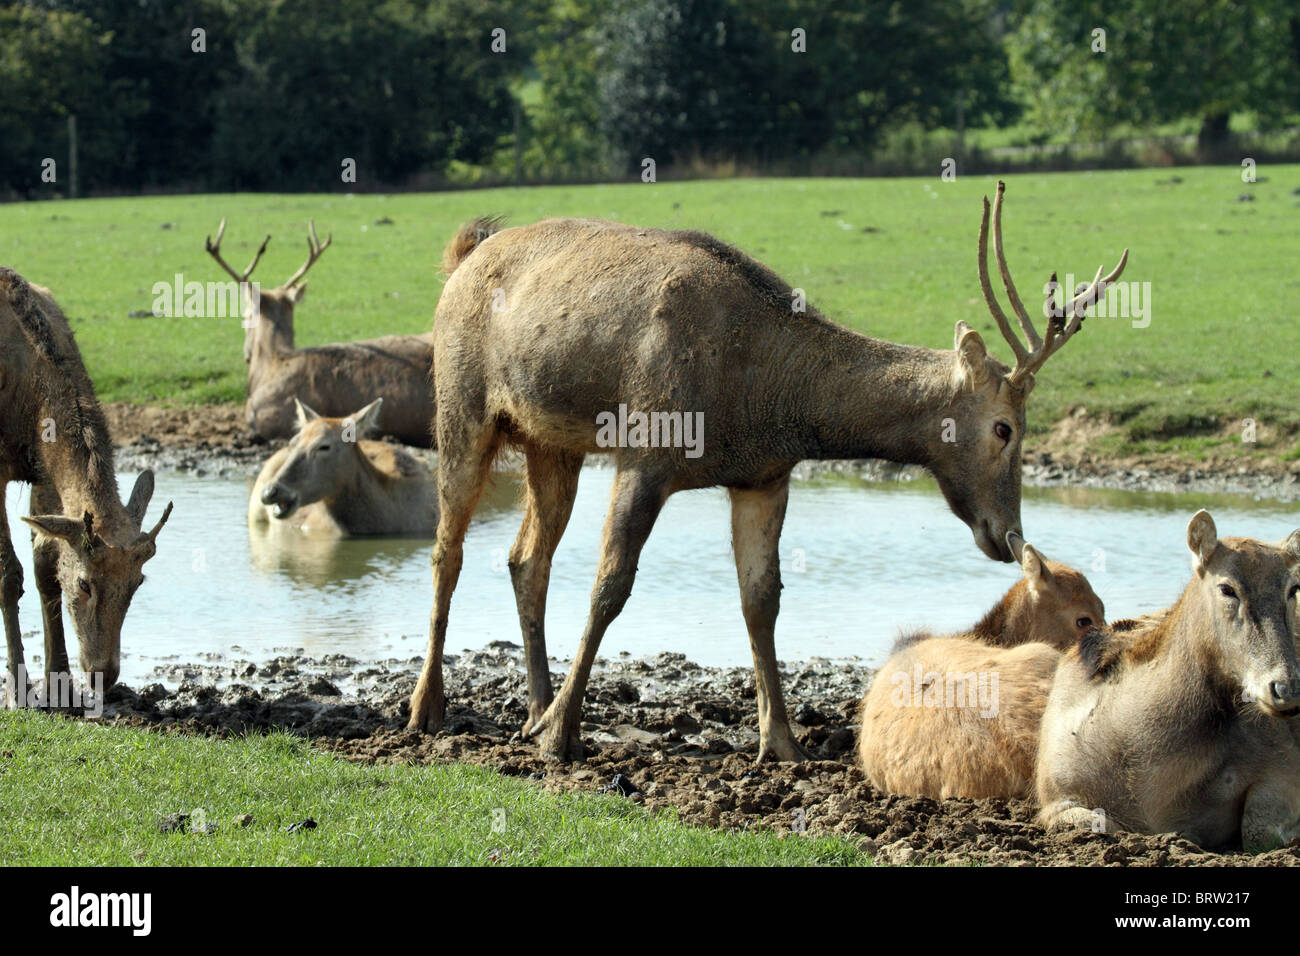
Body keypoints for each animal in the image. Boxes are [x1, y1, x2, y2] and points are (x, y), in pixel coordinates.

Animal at [0, 267, 171, 708]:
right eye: (84, 583)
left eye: (137, 583)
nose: (102, 675)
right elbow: (10, 572)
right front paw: (19, 691)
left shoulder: (42, 474)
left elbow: (44, 568)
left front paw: (58, 685)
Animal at [411, 182, 1129, 763]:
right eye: (1005, 427)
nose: (1008, 533)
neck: (763, 398)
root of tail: (461, 257)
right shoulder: (646, 451)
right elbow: (610, 586)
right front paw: (564, 736)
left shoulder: (763, 477)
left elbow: (762, 600)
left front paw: (782, 742)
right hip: (461, 407)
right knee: (448, 551)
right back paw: (431, 709)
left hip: (548, 441)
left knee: (525, 558)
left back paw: (531, 710)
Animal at [1037, 511, 1300, 852]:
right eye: (1227, 588)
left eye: (1293, 588)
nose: (1286, 688)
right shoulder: (1056, 796)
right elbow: (1102, 824)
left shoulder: (1285, 769)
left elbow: (1259, 830)